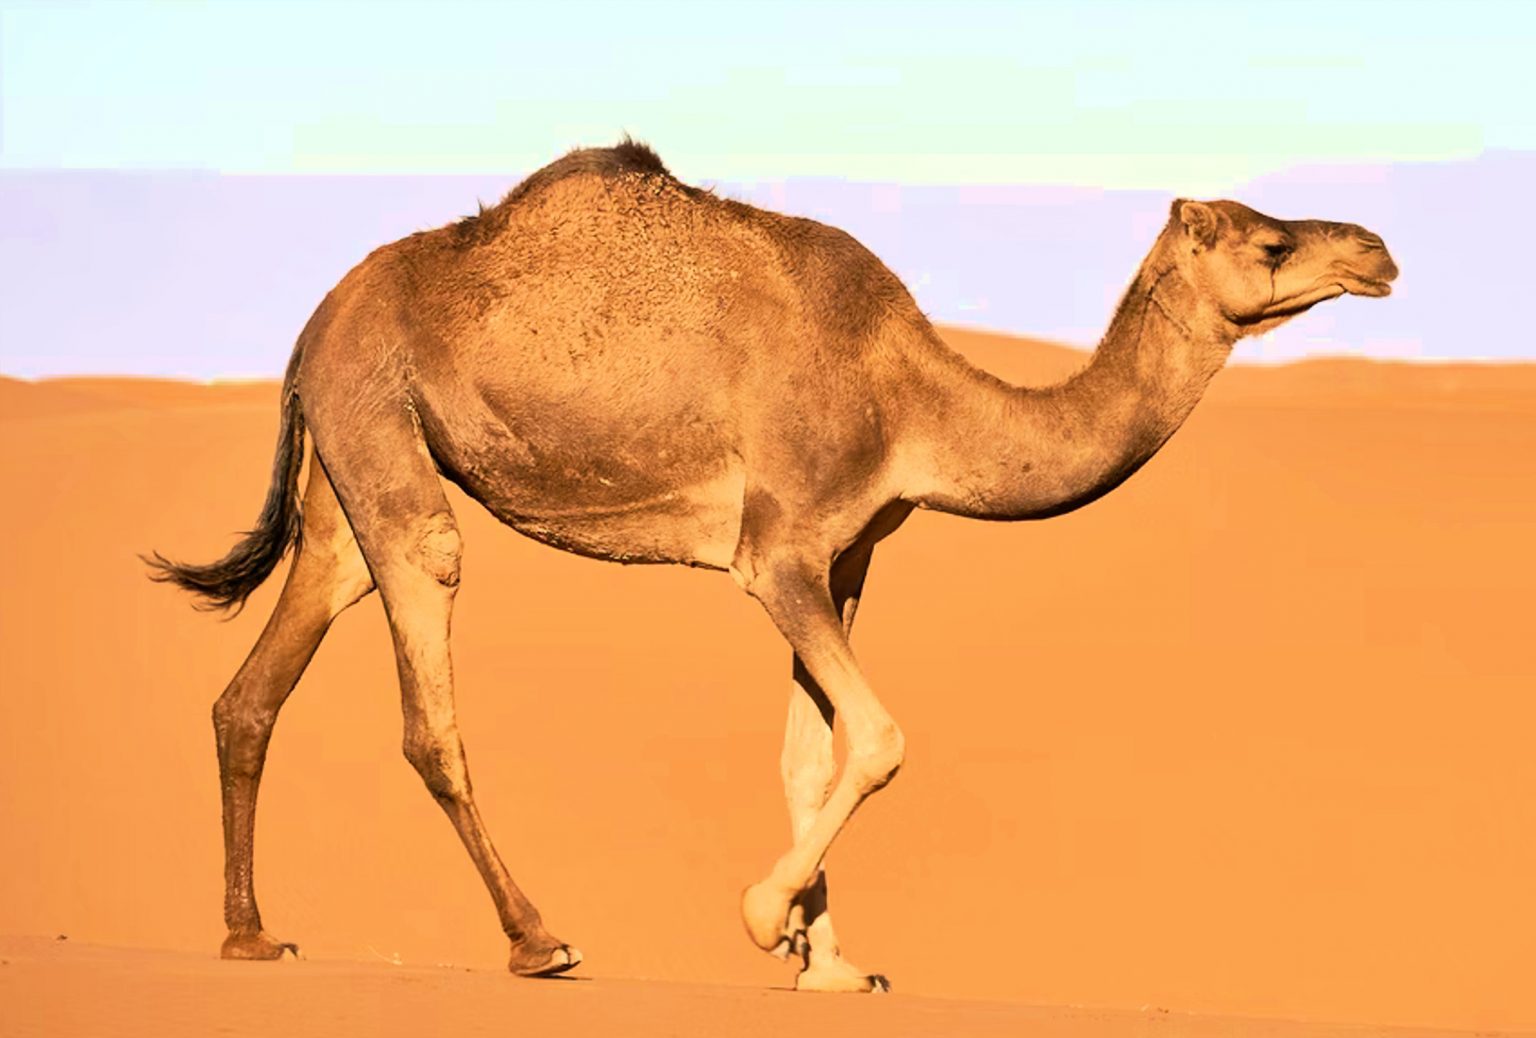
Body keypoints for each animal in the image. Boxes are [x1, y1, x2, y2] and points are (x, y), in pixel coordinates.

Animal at [147, 139, 1397, 992]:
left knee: (264, 673)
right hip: (380, 425)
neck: (915, 399)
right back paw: (540, 939)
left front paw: (829, 961)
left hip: (349, 461)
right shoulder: (779, 548)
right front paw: (764, 920)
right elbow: (881, 736)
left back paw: (250, 934)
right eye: (1271, 243)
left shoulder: (846, 559)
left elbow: (813, 752)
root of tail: (313, 328)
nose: (1379, 251)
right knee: (429, 677)